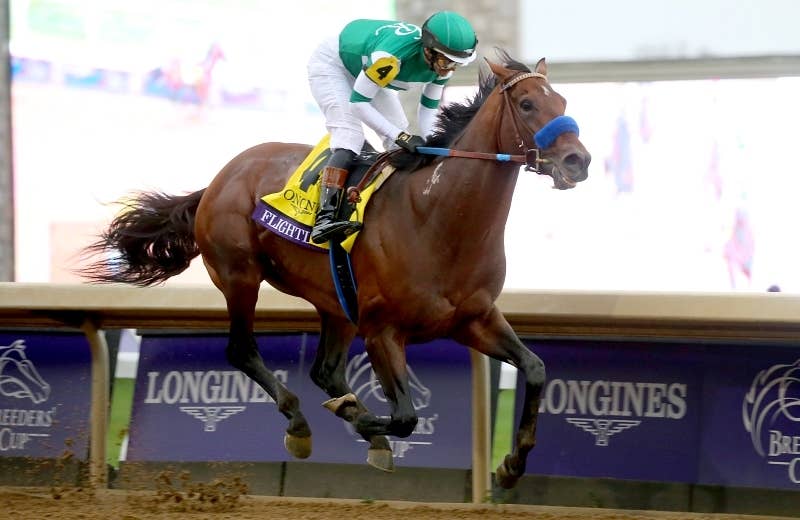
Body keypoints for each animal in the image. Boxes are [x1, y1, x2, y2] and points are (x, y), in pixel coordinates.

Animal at [82, 50, 590, 489]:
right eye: (527, 103)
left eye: (563, 103)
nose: (578, 160)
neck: (438, 218)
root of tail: (219, 178)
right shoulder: (383, 329)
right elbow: (405, 416)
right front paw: (360, 417)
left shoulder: (473, 319)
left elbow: (536, 367)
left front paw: (511, 464)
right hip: (240, 276)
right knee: (243, 351)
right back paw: (301, 422)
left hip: (335, 305)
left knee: (325, 370)